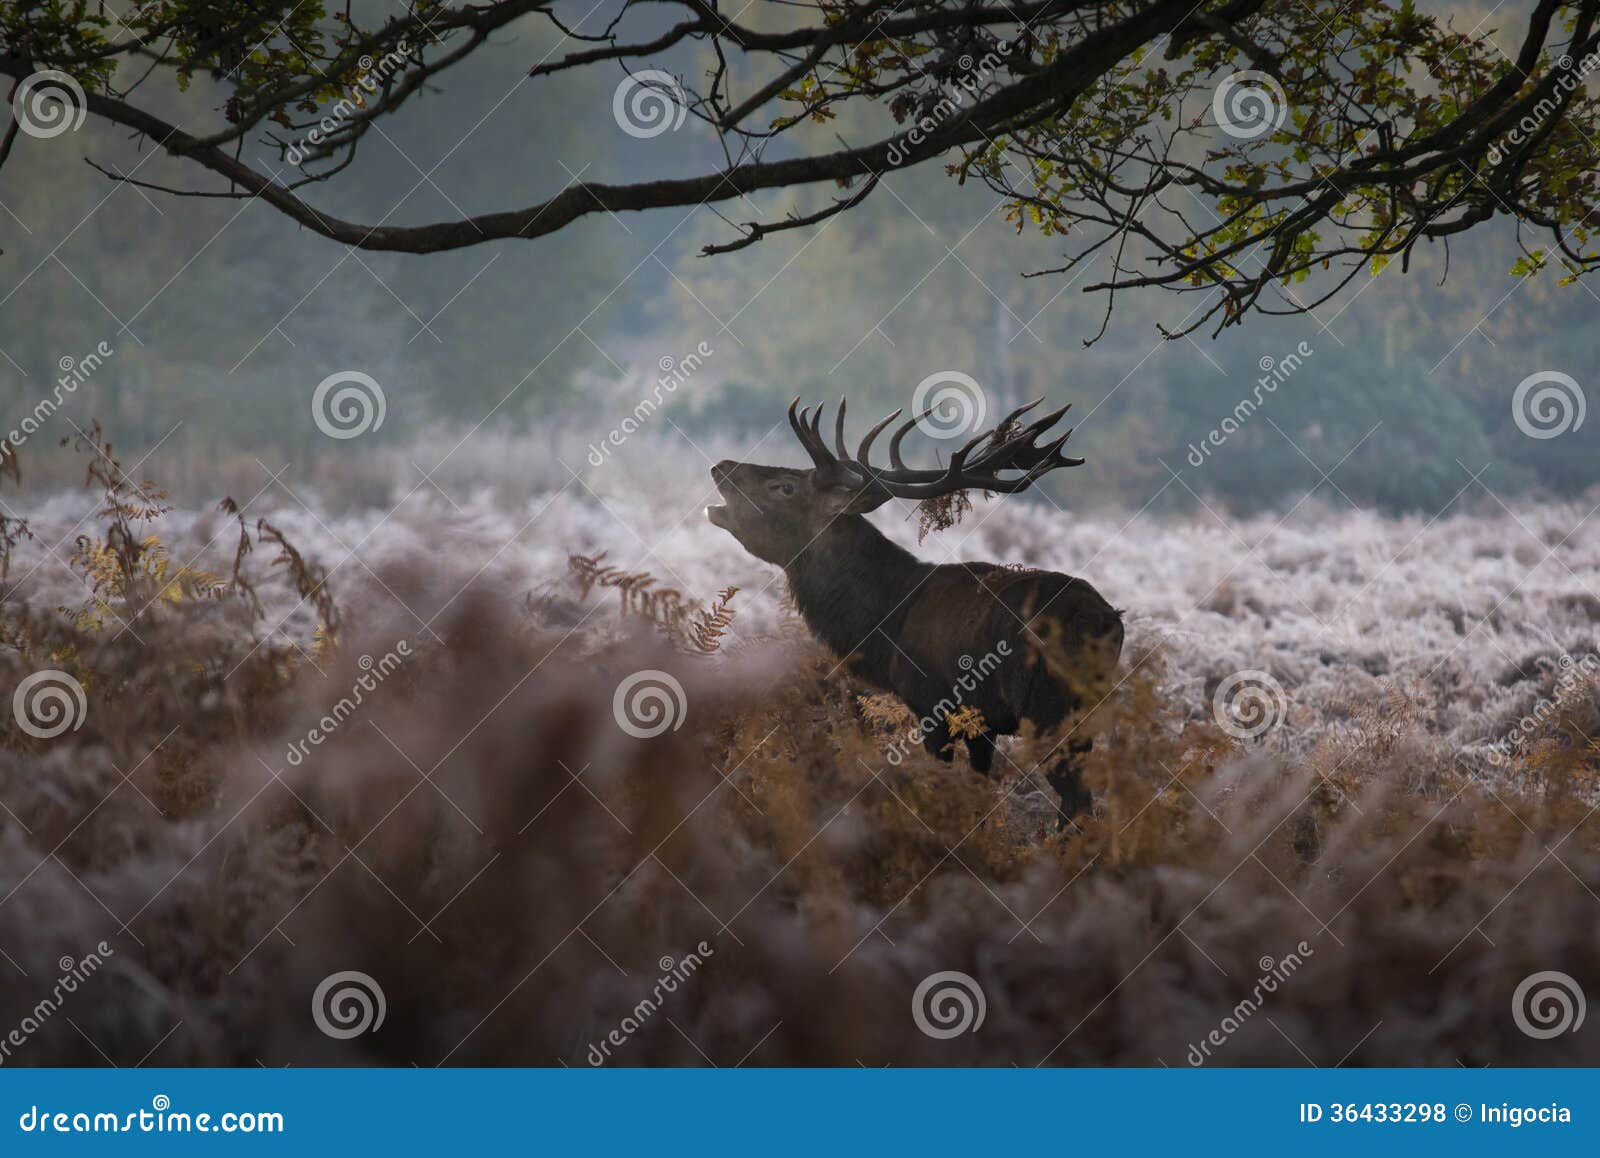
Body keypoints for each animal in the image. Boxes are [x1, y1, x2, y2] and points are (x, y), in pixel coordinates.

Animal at [706, 396, 1123, 827]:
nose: (720, 466)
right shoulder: (982, 724)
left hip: (1050, 708)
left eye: (784, 487)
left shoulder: (933, 705)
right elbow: (979, 791)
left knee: (1076, 800)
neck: (886, 621)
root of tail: (1104, 620)